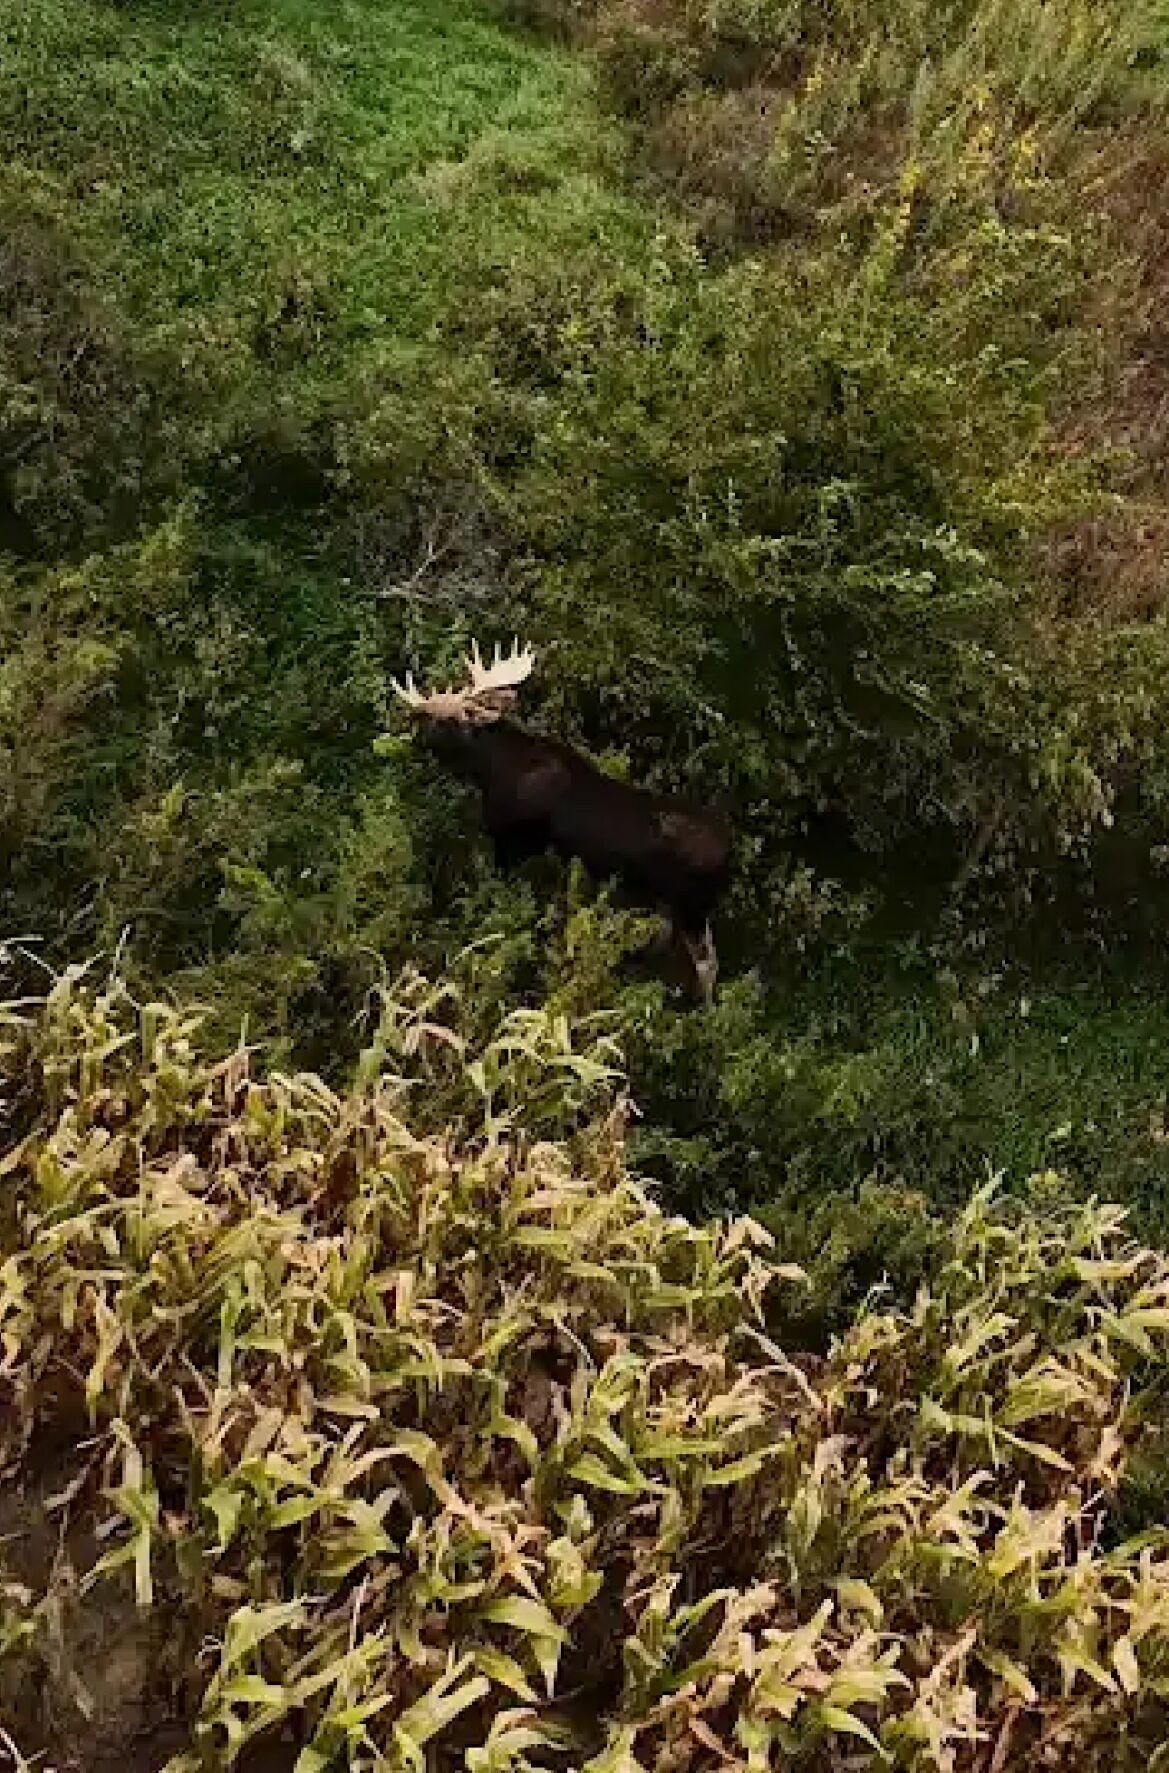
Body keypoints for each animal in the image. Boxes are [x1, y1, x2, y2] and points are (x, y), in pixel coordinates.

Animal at [392, 641, 731, 1001]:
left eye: (445, 719)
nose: (415, 734)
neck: (491, 770)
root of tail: (729, 854)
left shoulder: (512, 839)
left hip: (691, 902)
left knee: (707, 962)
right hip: (672, 901)